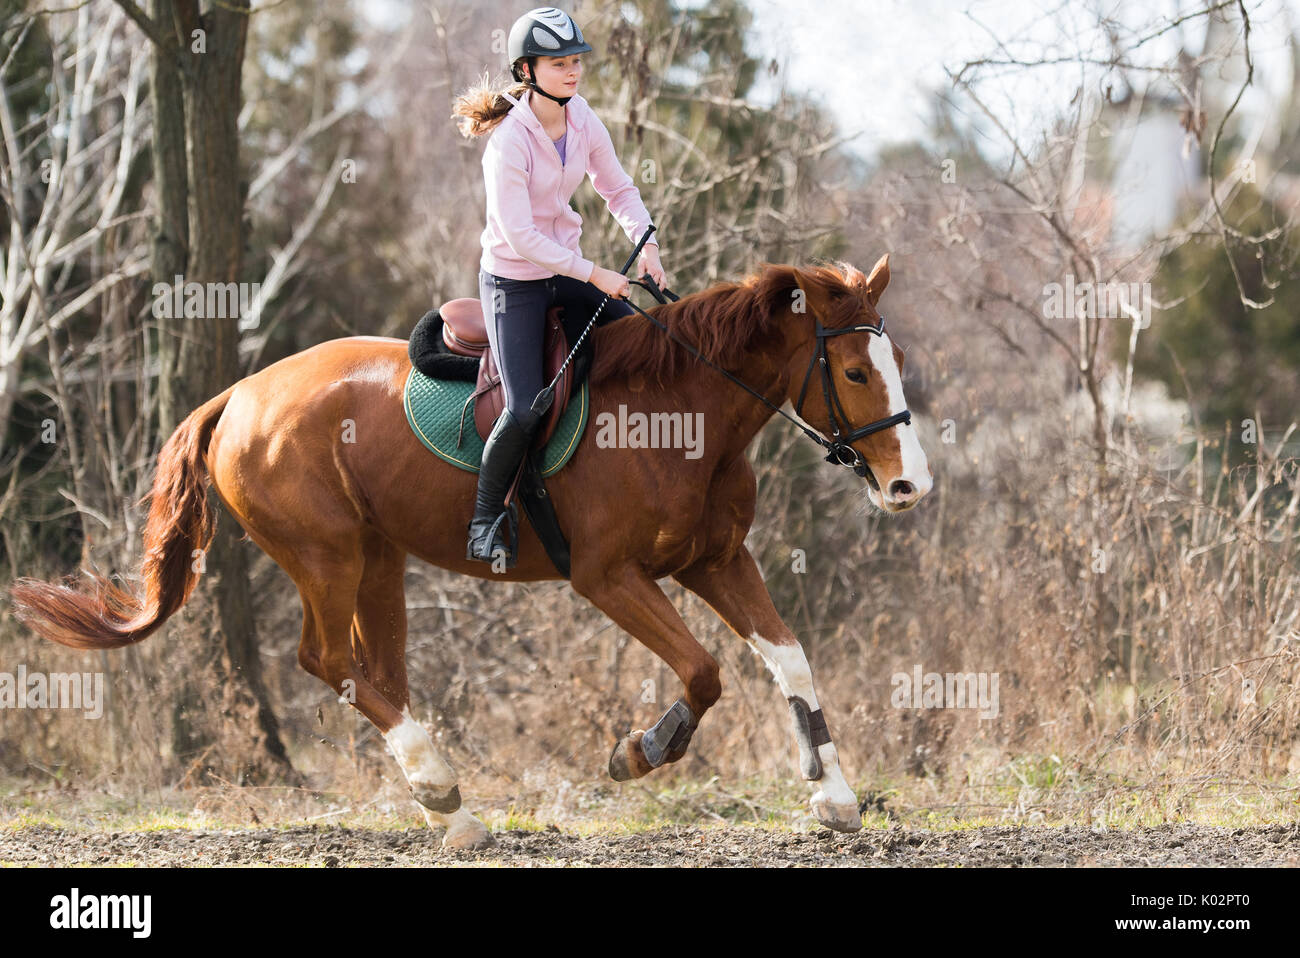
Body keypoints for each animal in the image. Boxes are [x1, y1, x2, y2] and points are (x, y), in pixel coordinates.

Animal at [9, 254, 931, 850]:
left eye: (892, 360)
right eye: (854, 372)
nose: (908, 486)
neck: (684, 411)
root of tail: (238, 394)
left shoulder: (716, 562)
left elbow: (791, 658)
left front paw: (834, 797)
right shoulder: (608, 577)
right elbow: (703, 671)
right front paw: (638, 752)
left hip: (378, 560)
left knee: (377, 672)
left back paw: (448, 812)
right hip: (327, 556)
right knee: (326, 660)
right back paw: (439, 784)